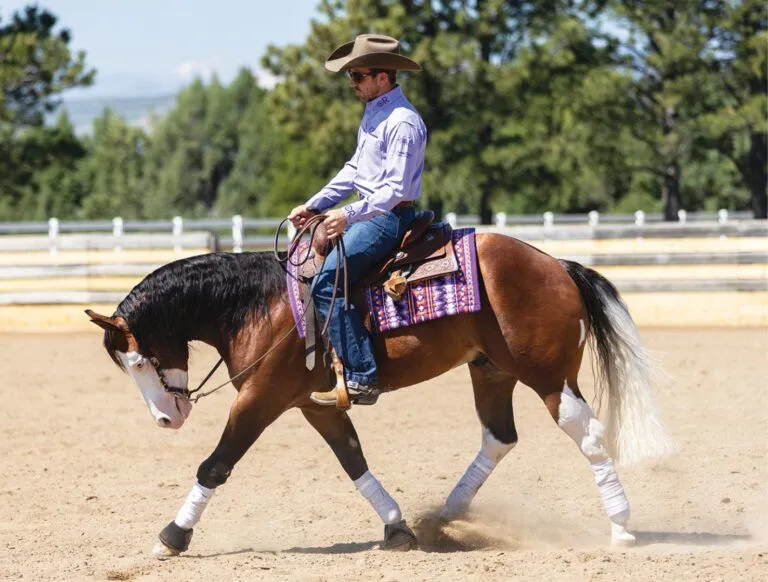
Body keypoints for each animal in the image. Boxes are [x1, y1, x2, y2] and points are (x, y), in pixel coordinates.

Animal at [85, 229, 674, 558]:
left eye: (138, 359)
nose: (166, 420)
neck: (260, 304)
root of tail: (558, 266)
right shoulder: (309, 402)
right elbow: (352, 459)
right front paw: (396, 527)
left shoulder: (261, 397)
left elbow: (216, 464)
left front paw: (172, 537)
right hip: (490, 371)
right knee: (499, 437)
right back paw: (444, 515)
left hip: (549, 377)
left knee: (588, 434)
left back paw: (621, 527)